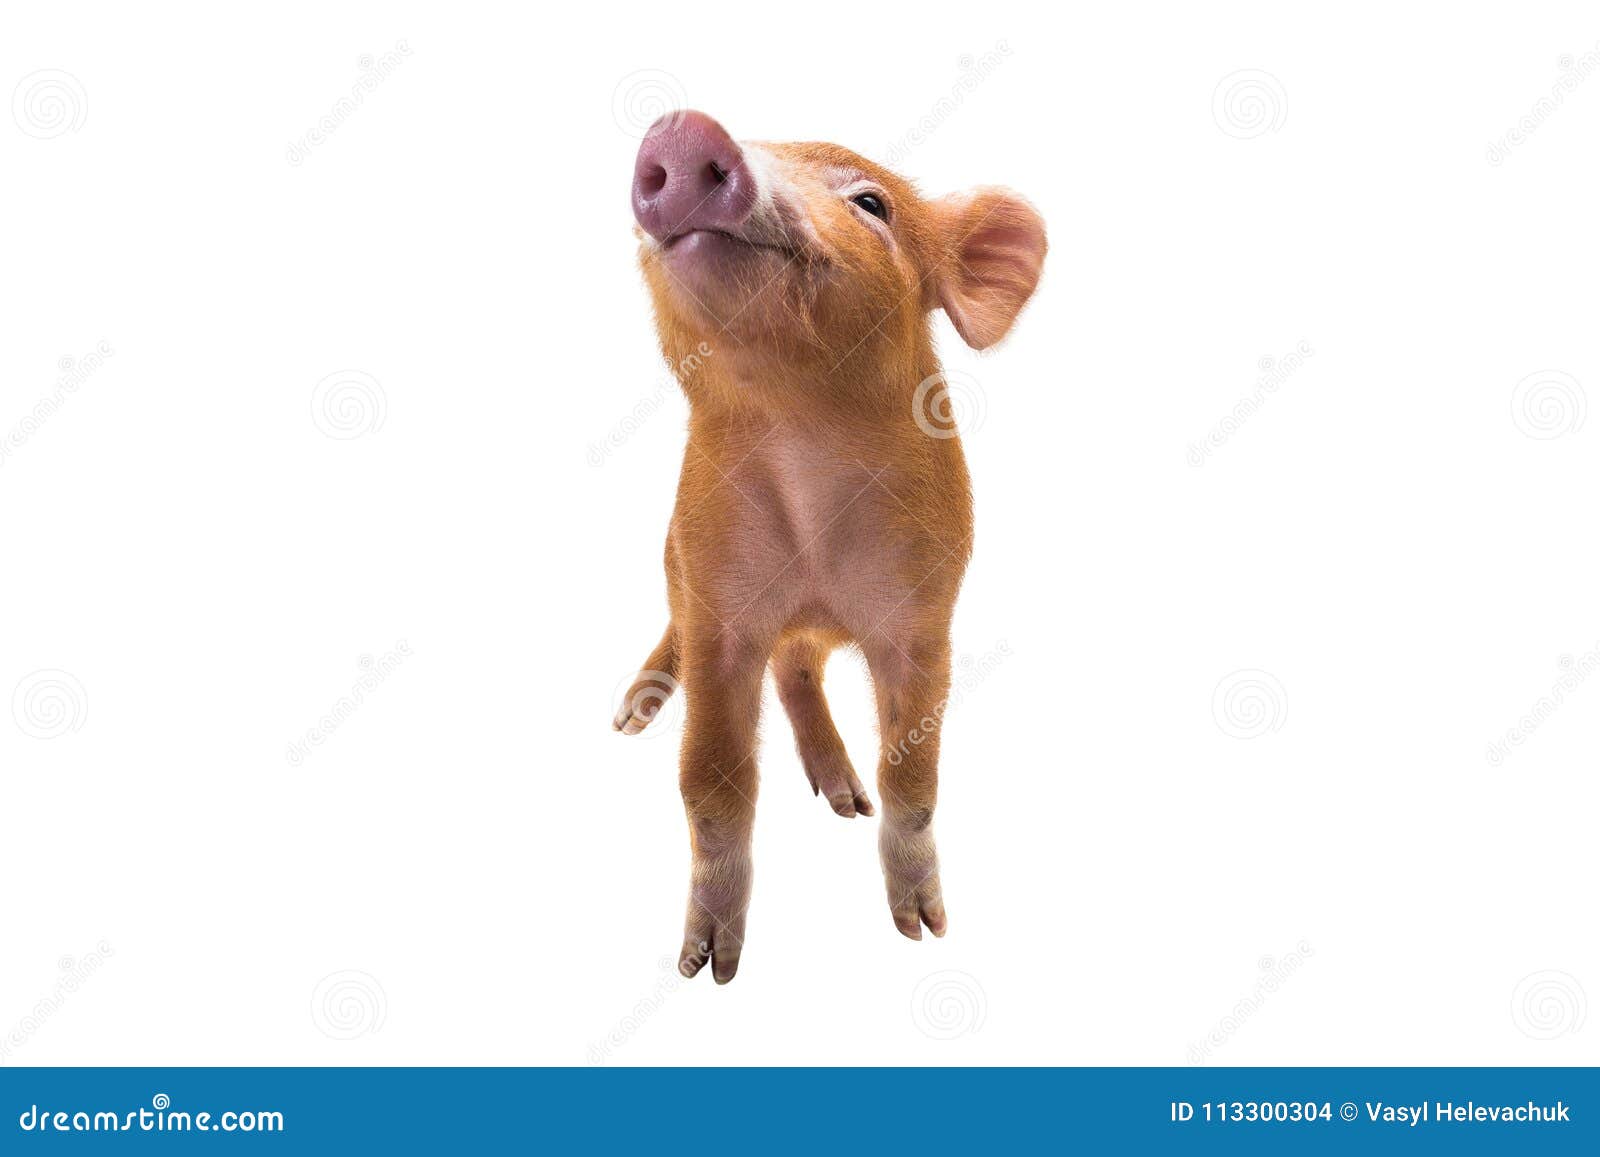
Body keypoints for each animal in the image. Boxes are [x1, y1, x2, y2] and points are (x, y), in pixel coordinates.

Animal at [613, 110, 1046, 983]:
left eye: (871, 203)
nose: (681, 127)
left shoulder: (926, 618)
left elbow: (913, 778)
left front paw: (924, 928)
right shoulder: (719, 606)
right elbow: (712, 784)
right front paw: (706, 966)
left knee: (797, 667)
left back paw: (845, 796)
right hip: (672, 557)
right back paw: (630, 717)